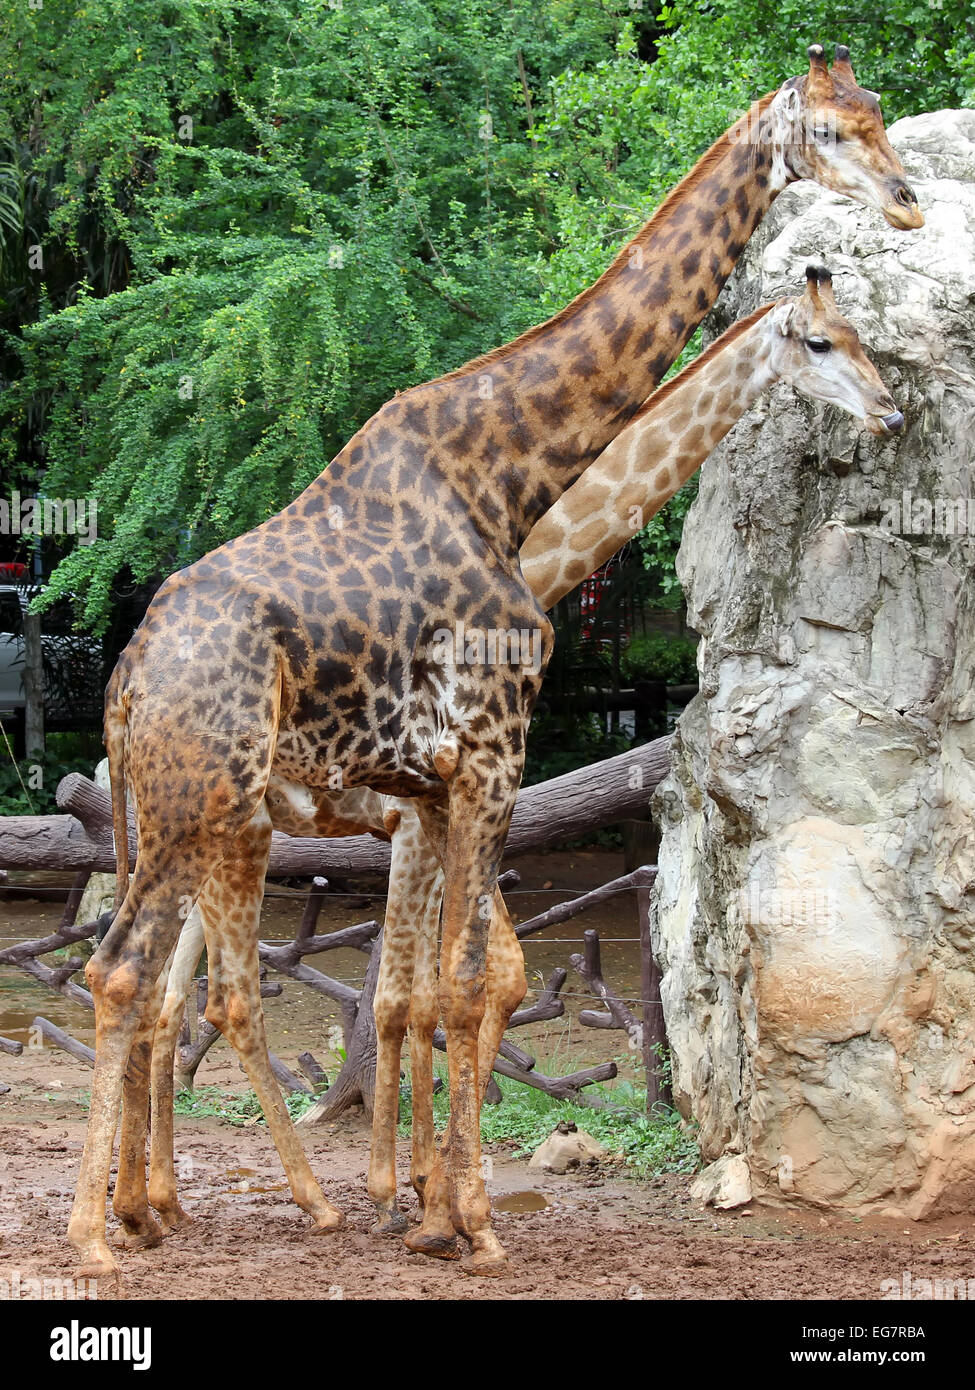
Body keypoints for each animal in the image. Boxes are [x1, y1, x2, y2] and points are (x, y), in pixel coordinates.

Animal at [70, 44, 921, 1283]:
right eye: (837, 129)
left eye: (884, 114)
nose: (908, 203)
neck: (510, 478)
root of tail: (125, 678)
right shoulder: (486, 757)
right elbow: (471, 984)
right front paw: (459, 1220)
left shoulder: (429, 791)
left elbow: (437, 990)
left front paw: (425, 1206)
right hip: (206, 806)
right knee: (137, 974)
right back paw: (112, 1230)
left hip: (202, 817)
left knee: (171, 987)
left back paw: (156, 1207)